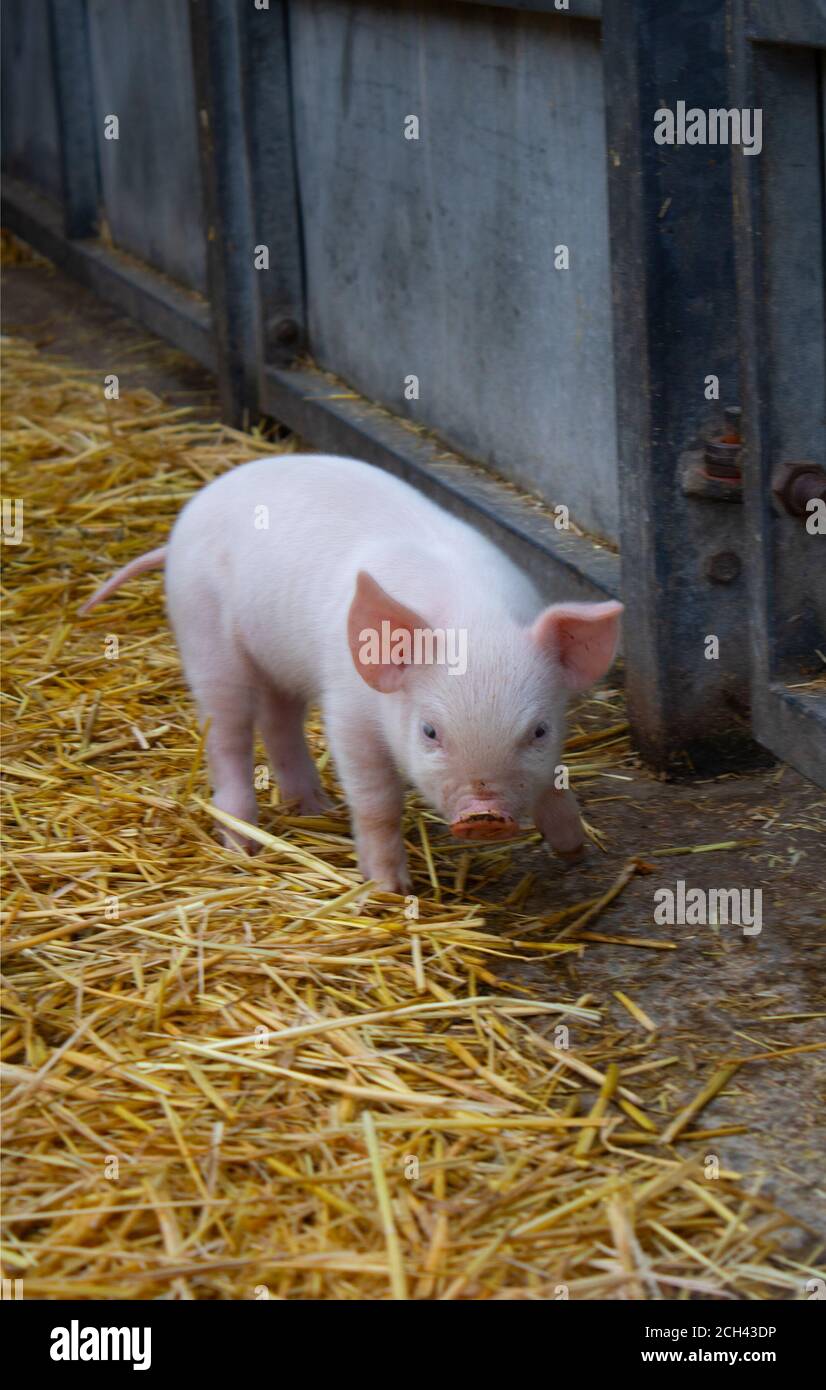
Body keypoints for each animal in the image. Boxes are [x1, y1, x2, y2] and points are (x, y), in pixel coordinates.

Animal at [81, 454, 622, 892]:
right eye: (429, 731)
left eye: (539, 730)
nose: (483, 816)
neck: (473, 614)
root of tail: (182, 526)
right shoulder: (348, 708)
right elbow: (377, 803)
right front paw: (389, 890)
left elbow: (556, 784)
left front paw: (576, 852)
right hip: (206, 635)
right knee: (228, 735)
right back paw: (243, 843)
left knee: (279, 723)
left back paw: (314, 809)